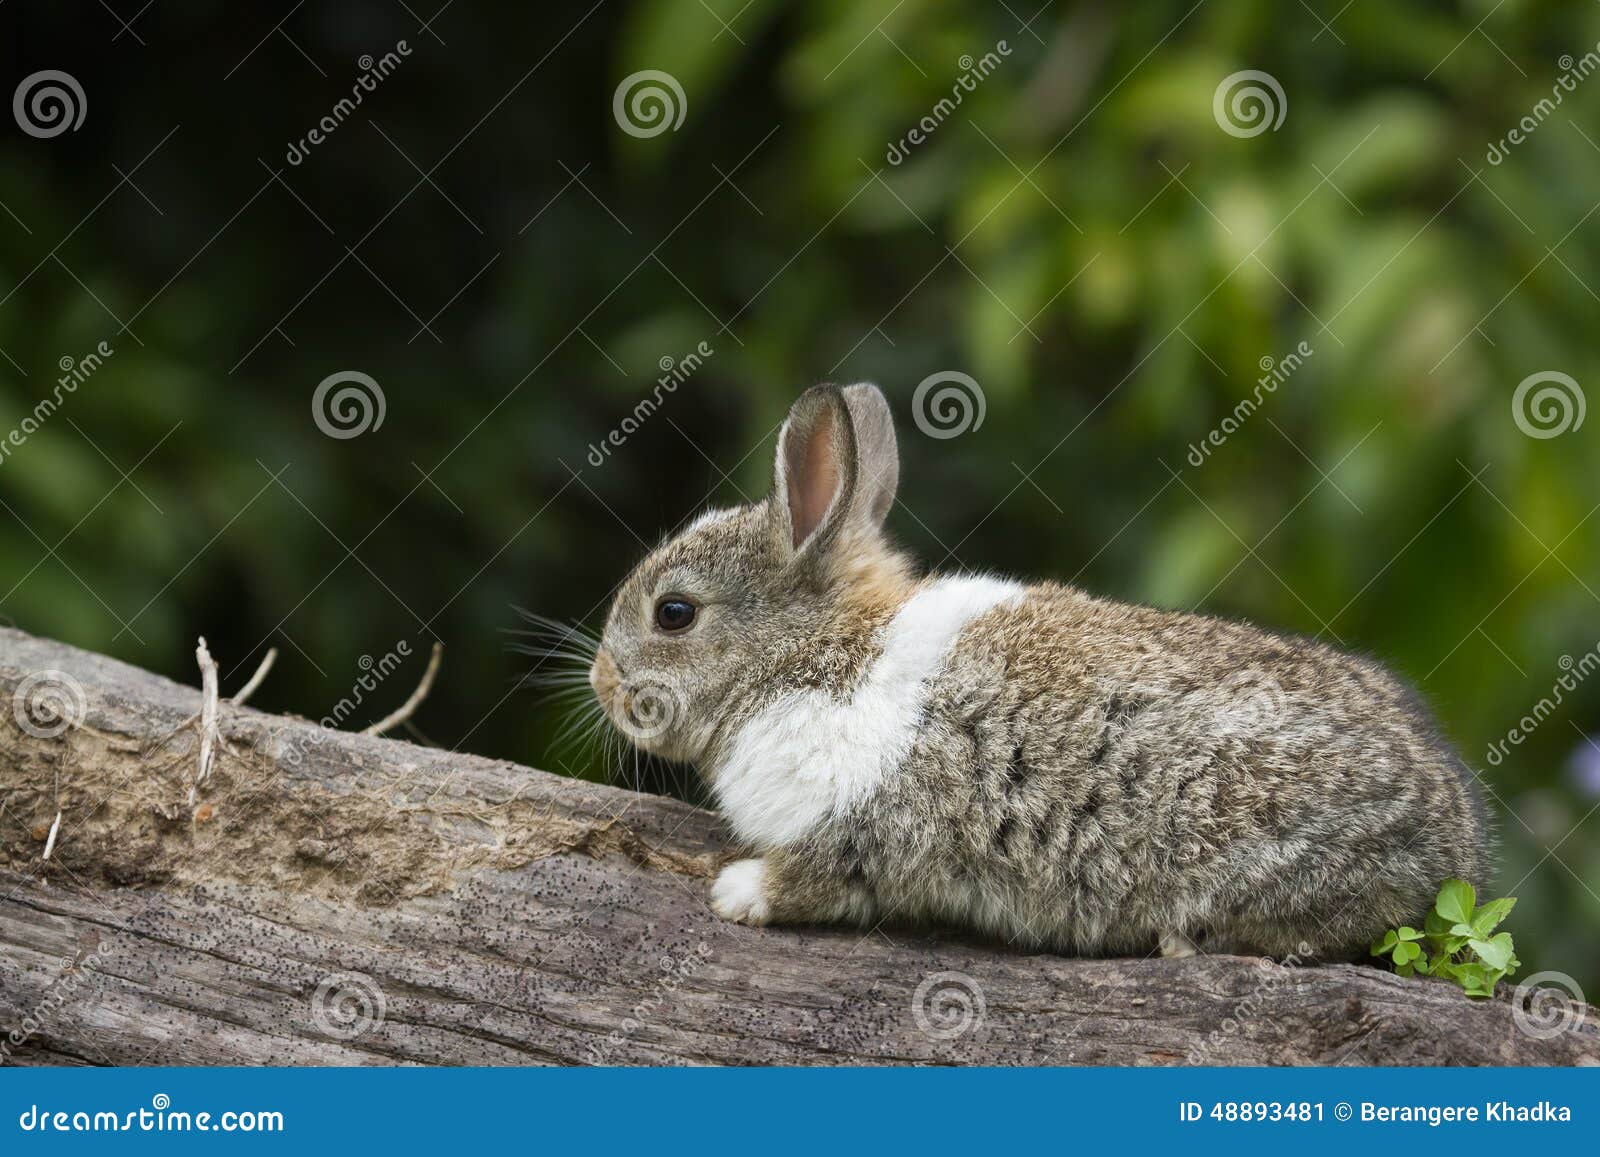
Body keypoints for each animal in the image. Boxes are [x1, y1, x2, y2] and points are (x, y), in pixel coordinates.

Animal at [587, 382, 1492, 959]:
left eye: (675, 613)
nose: (601, 683)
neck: (814, 659)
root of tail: (1456, 848)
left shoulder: (867, 827)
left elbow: (816, 881)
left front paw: (736, 892)